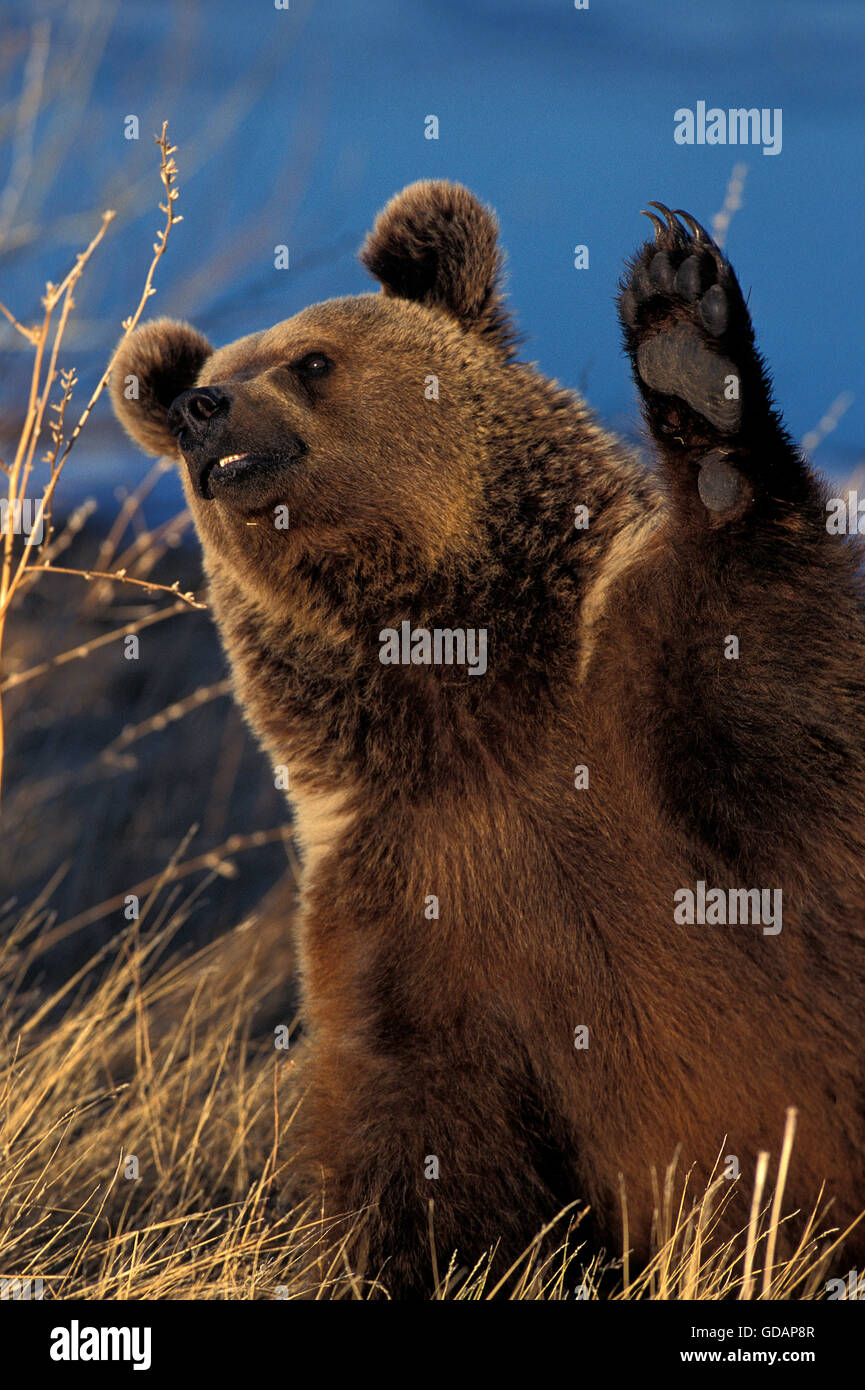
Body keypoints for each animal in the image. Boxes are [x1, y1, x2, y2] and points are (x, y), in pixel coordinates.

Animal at [110, 181, 865, 1298]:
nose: (203, 414)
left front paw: (687, 350)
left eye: (310, 360)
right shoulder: (399, 913)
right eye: (201, 387)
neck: (469, 718)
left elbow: (761, 657)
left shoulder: (667, 744)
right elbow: (422, 1138)